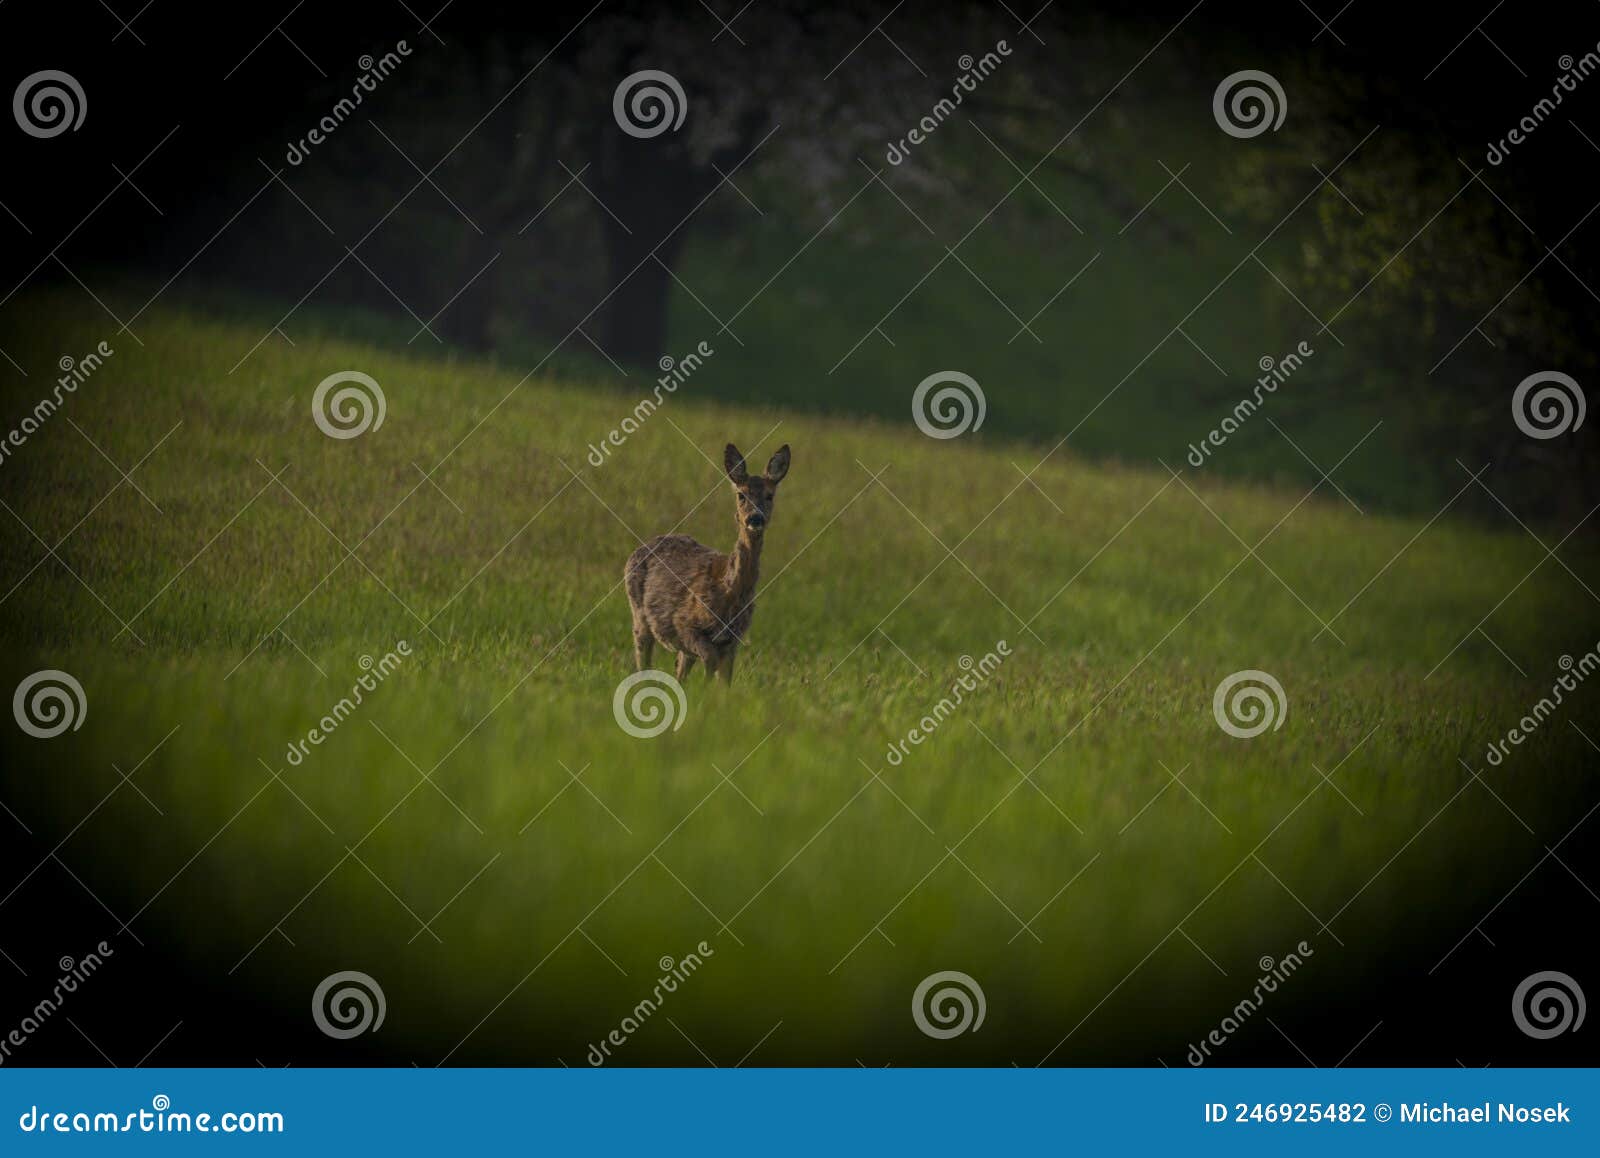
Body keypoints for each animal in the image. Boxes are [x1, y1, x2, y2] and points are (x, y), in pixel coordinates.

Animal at [624, 442, 791, 684]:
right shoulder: (685, 624)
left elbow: (725, 681)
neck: (729, 592)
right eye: (741, 495)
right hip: (639, 614)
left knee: (680, 669)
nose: (755, 518)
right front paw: (705, 688)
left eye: (770, 496)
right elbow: (710, 660)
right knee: (643, 659)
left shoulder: (733, 641)